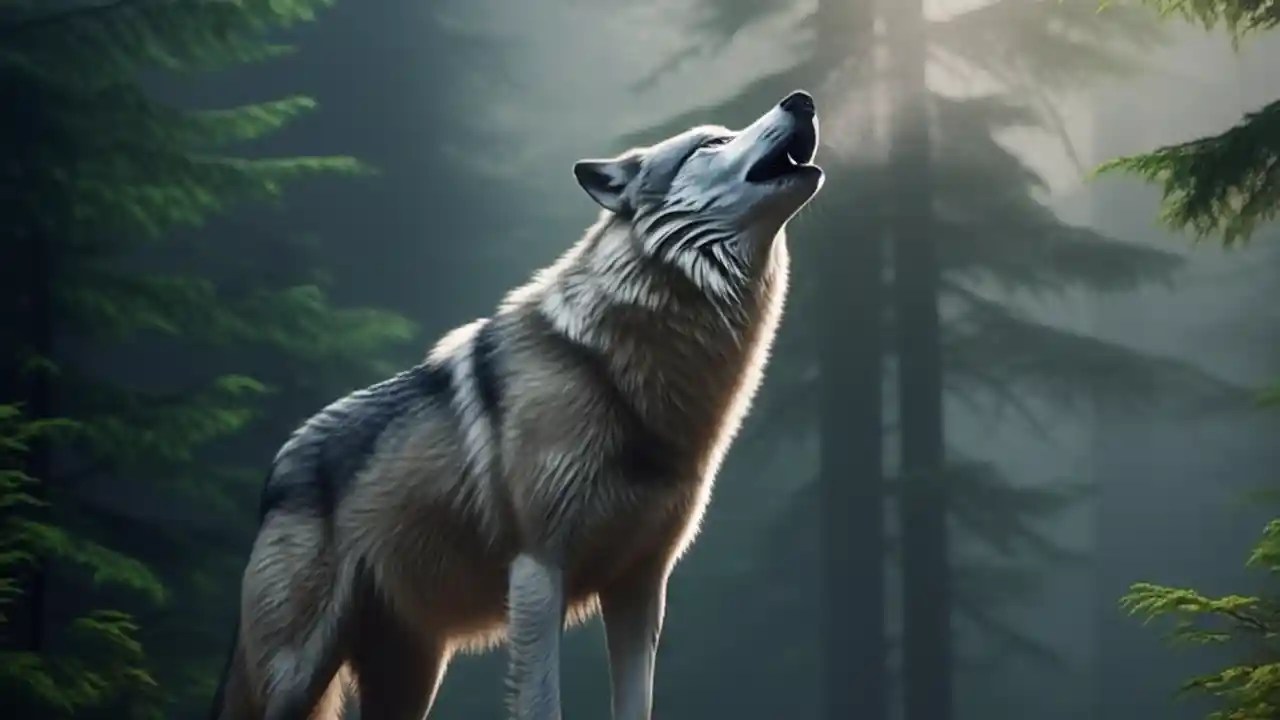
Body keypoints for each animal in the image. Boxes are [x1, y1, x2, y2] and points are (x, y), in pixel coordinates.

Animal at [211, 90, 824, 720]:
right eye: (712, 142)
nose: (801, 99)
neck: (608, 368)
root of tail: (279, 465)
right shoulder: (537, 572)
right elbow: (542, 703)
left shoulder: (640, 589)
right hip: (297, 679)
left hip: (411, 675)